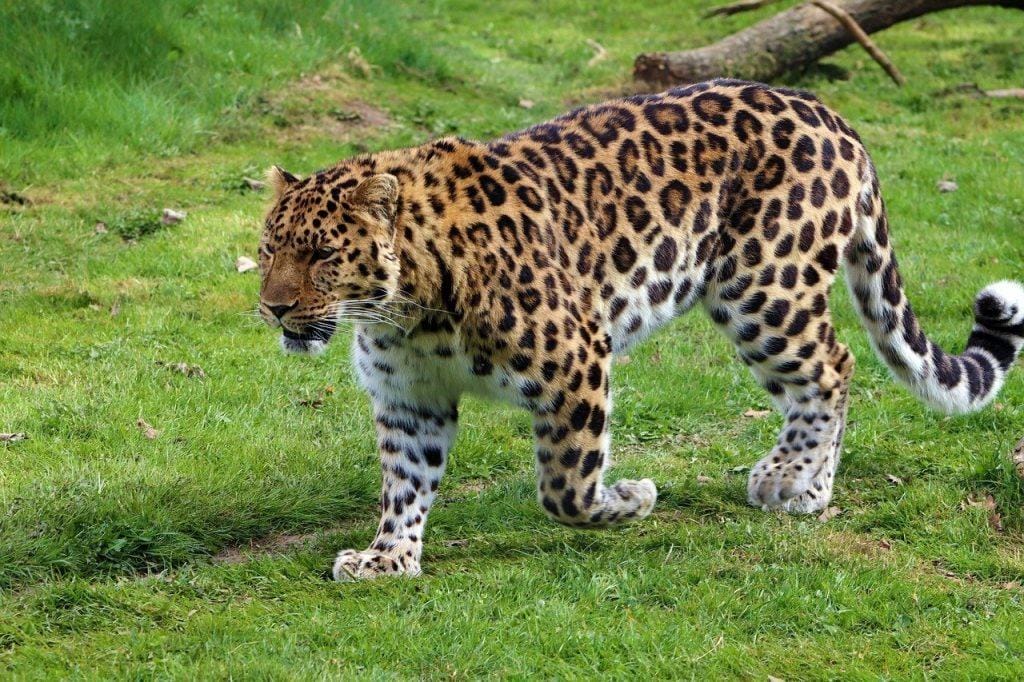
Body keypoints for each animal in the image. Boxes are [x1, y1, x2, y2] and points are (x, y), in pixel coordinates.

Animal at [256, 79, 1024, 581]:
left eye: (322, 256)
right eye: (268, 250)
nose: (274, 308)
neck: (406, 311)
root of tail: (833, 115)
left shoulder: (575, 358)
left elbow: (565, 488)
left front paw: (629, 500)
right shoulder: (409, 399)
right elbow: (406, 483)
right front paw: (388, 558)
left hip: (762, 288)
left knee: (834, 365)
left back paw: (792, 480)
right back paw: (808, 486)